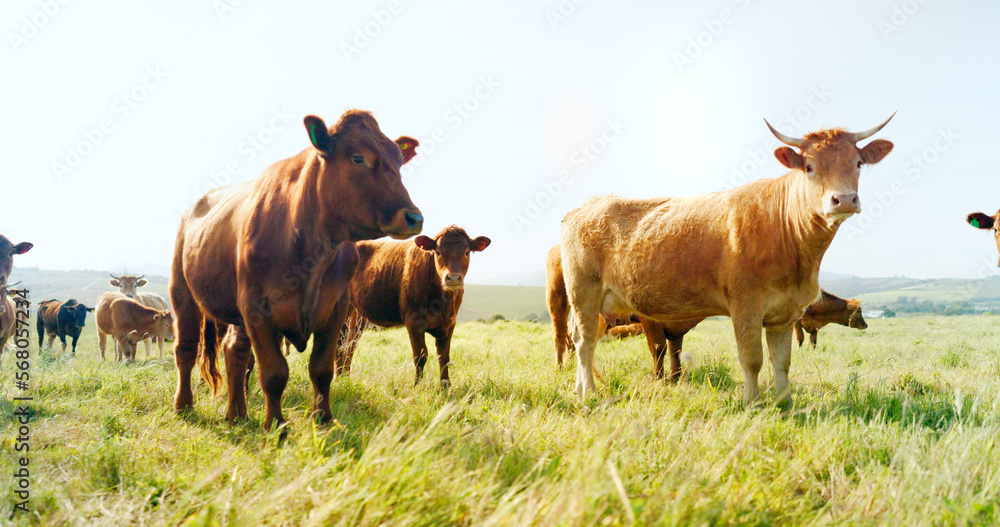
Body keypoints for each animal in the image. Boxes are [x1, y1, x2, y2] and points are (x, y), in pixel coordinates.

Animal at [171, 110, 423, 430]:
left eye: (399, 161)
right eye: (358, 158)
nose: (414, 217)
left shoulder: (336, 309)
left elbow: (322, 369)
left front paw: (324, 419)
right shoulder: (257, 308)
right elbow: (274, 372)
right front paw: (275, 427)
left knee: (234, 351)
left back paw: (237, 414)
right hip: (183, 292)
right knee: (186, 349)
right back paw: (184, 406)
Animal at [335, 226, 490, 386]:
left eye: (466, 252)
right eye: (438, 252)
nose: (453, 278)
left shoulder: (450, 323)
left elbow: (444, 357)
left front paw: (445, 387)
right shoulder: (413, 321)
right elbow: (420, 355)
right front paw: (417, 386)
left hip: (358, 314)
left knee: (350, 343)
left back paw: (345, 377)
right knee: (340, 343)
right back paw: (338, 378)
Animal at [560, 115, 895, 405]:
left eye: (858, 163)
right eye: (809, 166)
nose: (844, 199)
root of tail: (586, 205)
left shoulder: (785, 312)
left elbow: (782, 361)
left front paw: (784, 403)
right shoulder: (746, 304)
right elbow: (752, 358)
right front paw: (752, 402)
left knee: (580, 339)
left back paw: (578, 389)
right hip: (584, 292)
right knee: (584, 341)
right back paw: (588, 392)